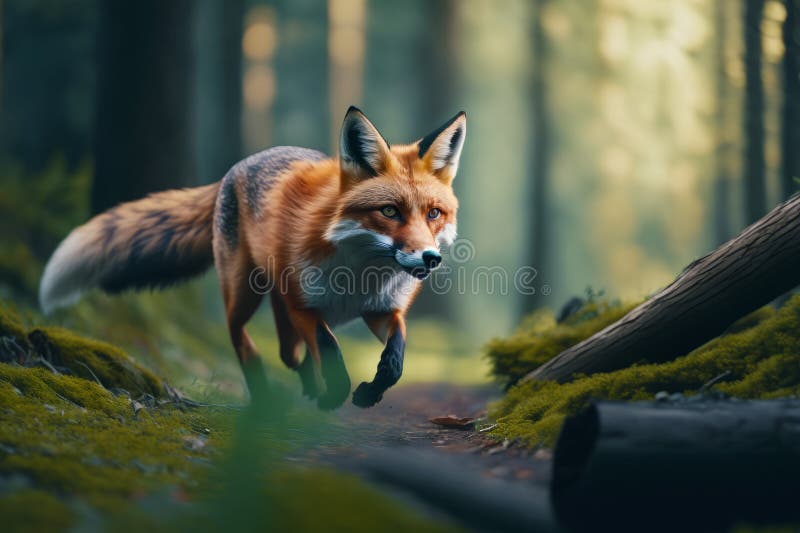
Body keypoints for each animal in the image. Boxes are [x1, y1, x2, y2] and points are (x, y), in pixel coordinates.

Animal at [39, 106, 466, 409]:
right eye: (390, 212)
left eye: (434, 214)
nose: (429, 258)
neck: (360, 275)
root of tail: (236, 168)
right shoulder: (304, 307)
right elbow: (330, 352)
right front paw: (335, 395)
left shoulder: (381, 311)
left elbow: (395, 360)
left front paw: (369, 392)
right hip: (244, 294)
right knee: (246, 343)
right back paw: (264, 395)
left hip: (277, 306)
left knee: (289, 354)